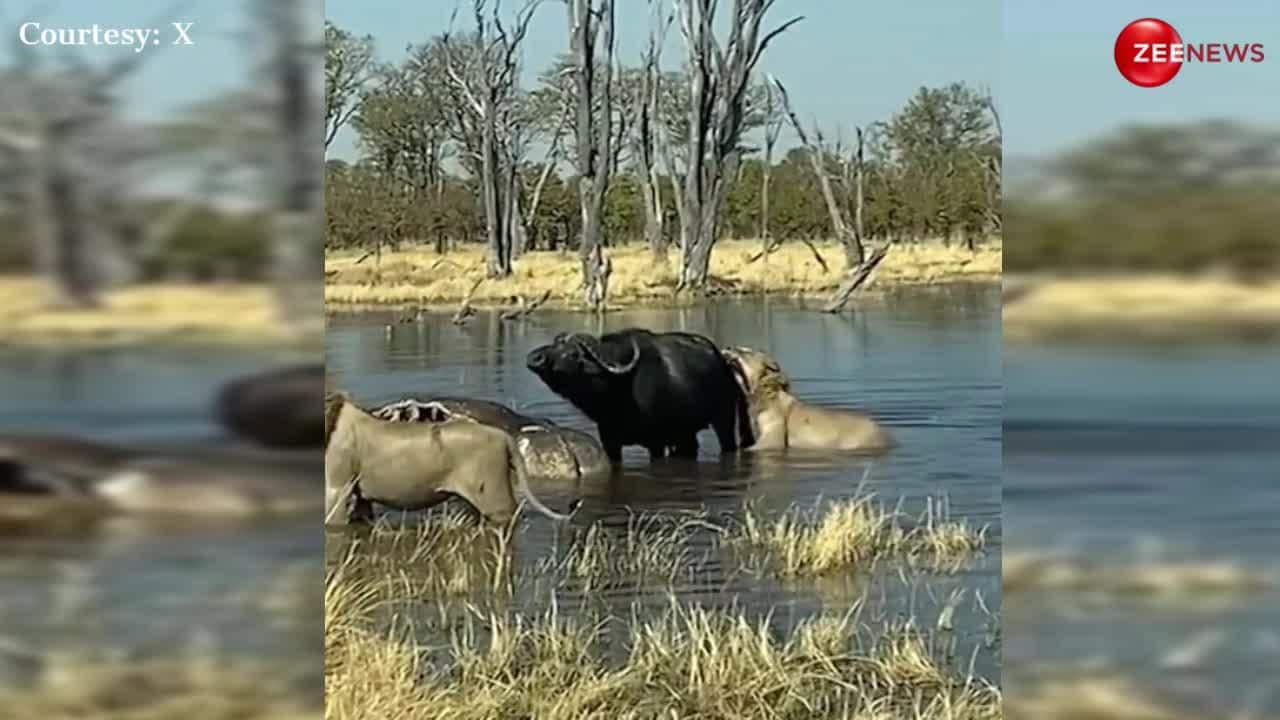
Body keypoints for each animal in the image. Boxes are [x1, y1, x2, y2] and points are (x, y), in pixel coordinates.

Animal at [525, 329, 754, 462]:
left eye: (573, 353)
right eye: (555, 342)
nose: (534, 357)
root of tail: (723, 362)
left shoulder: (656, 444)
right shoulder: (610, 443)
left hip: (723, 421)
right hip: (685, 435)